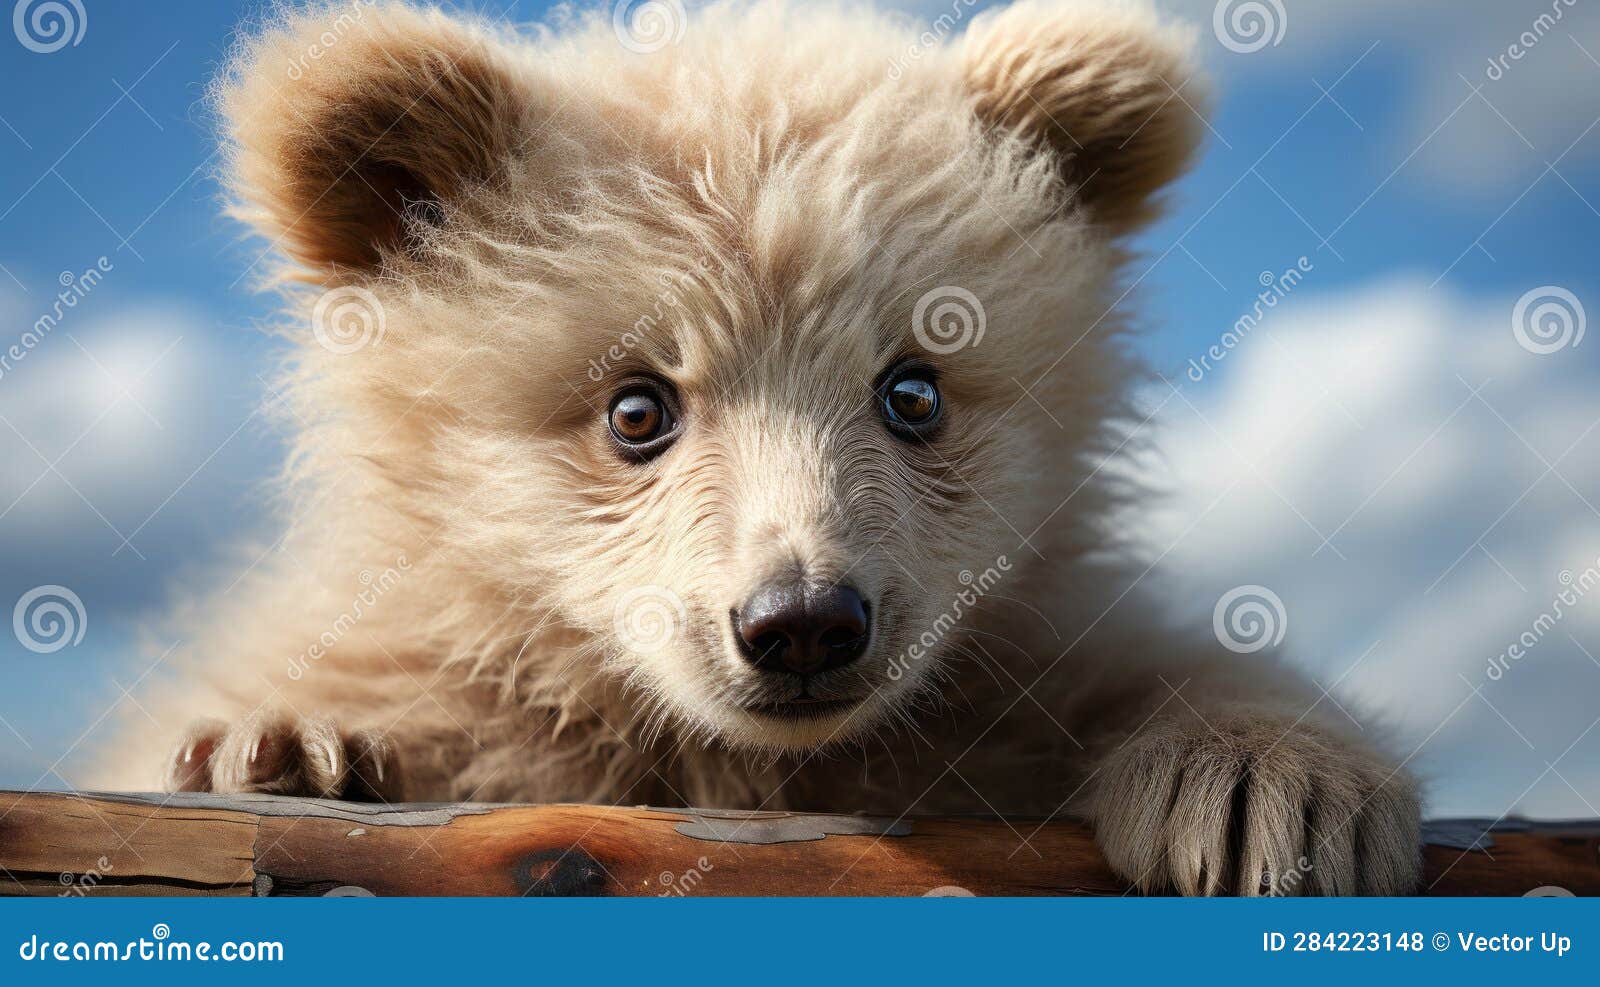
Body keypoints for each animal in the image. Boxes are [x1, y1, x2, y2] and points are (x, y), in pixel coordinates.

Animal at [90, 0, 1422, 896]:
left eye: (913, 390)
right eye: (637, 407)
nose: (803, 623)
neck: (732, 769)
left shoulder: (995, 673)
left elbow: (1129, 670)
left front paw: (1264, 787)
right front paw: (279, 750)